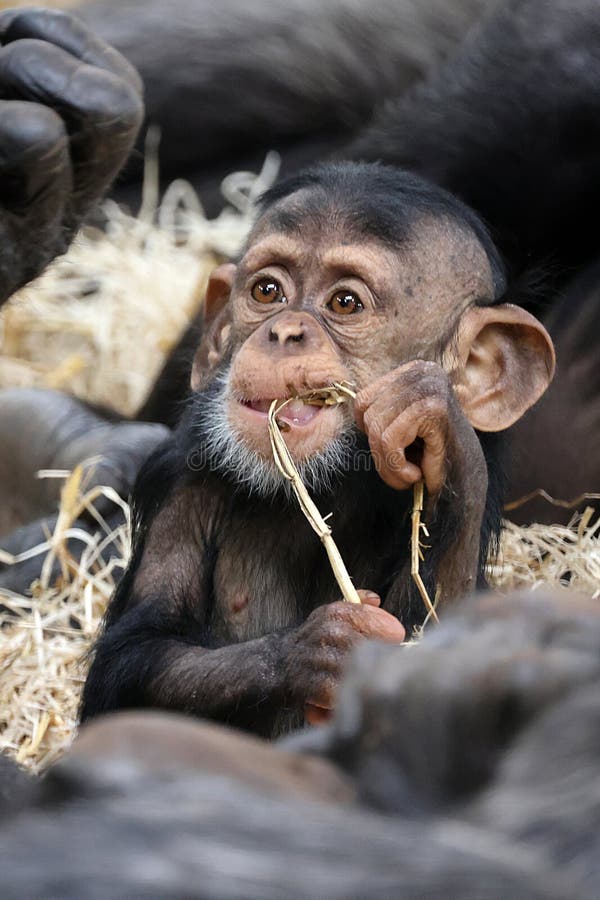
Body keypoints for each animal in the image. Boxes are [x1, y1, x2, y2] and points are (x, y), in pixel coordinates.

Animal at [80, 161, 554, 736]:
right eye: (267, 291)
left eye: (345, 303)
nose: (285, 331)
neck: (335, 476)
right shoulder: (179, 480)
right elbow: (134, 655)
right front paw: (323, 650)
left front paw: (435, 414)